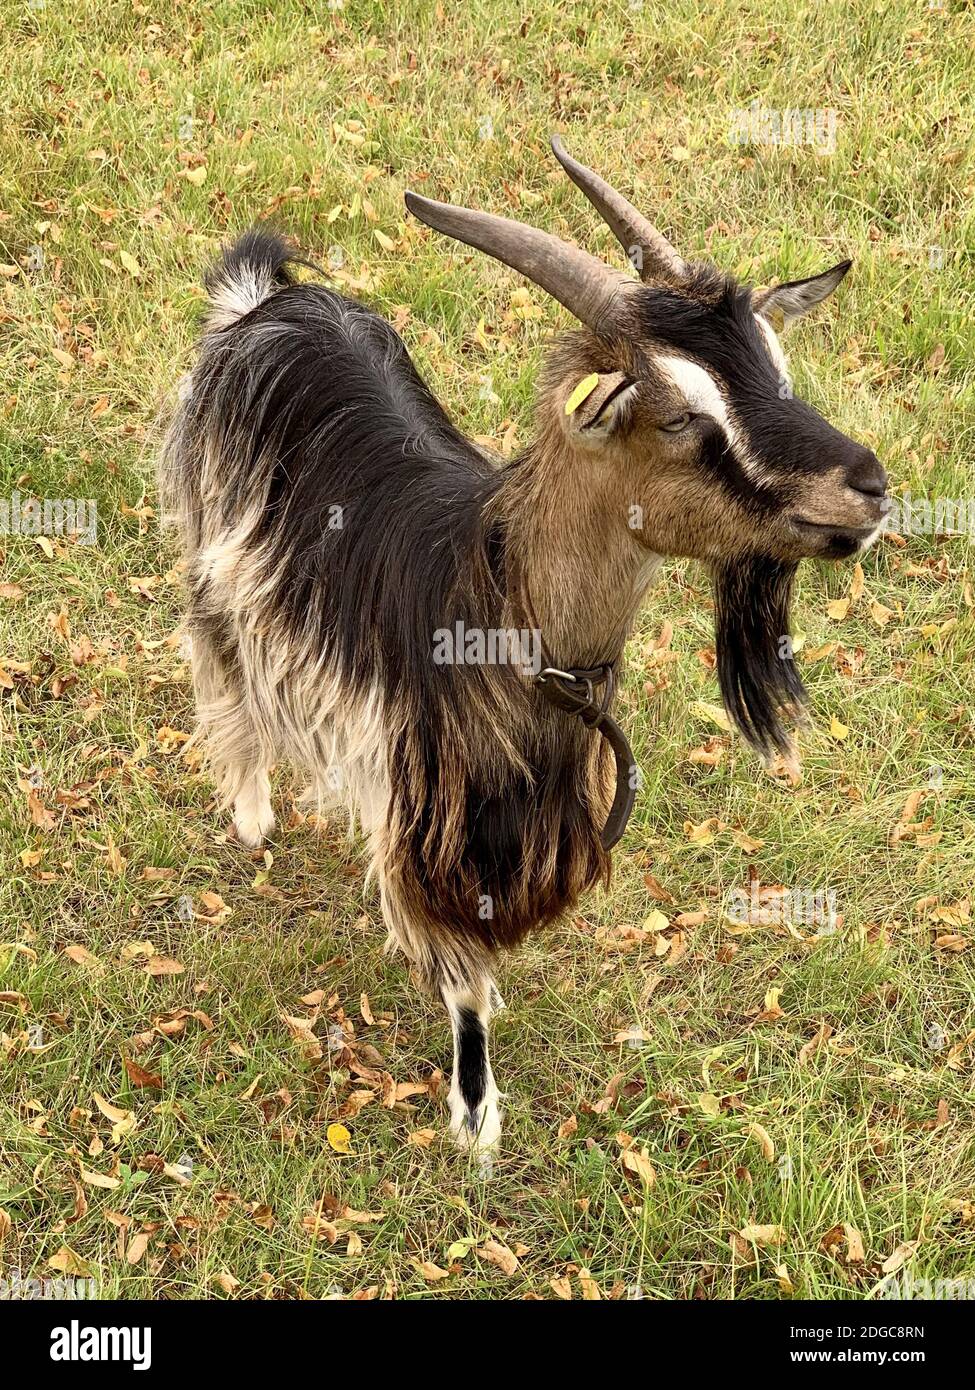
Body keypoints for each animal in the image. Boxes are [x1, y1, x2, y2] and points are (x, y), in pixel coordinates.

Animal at [161, 138, 888, 1153]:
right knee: (218, 653)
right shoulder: (431, 816)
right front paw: (475, 1116)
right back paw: (253, 812)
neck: (502, 609)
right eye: (678, 415)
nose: (869, 486)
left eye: (777, 375)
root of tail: (265, 297)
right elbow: (460, 971)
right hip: (208, 538)